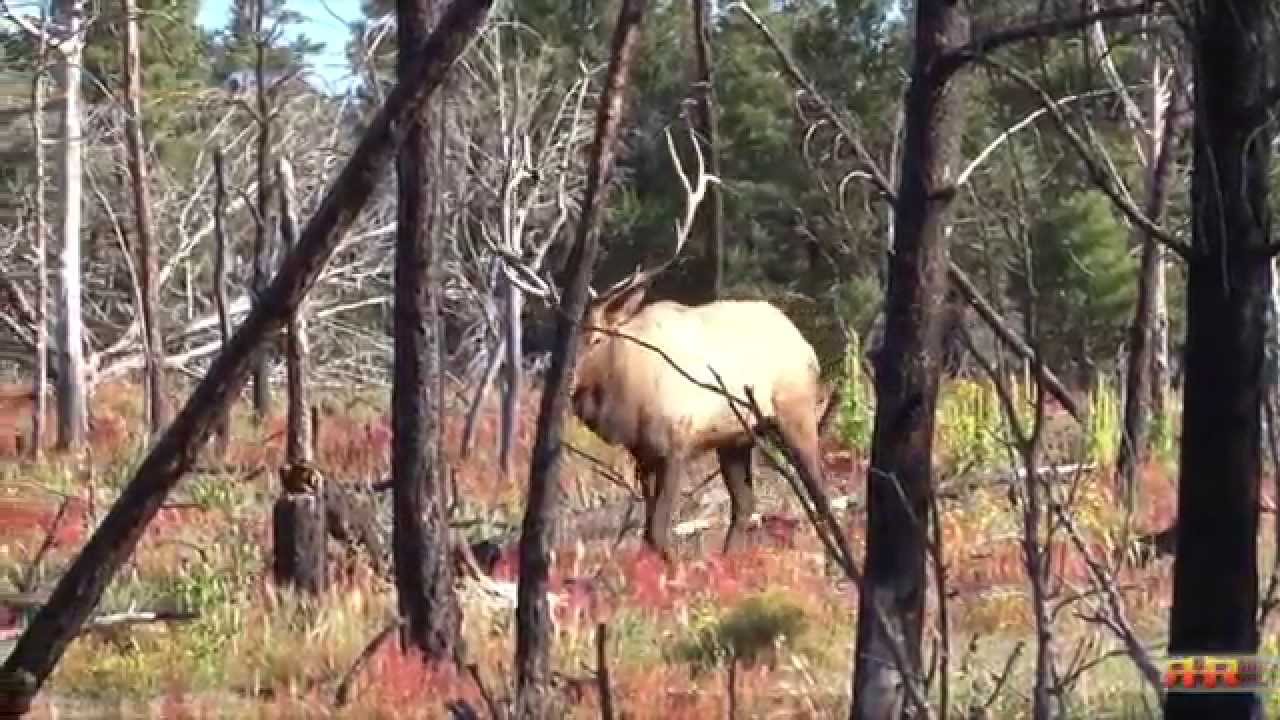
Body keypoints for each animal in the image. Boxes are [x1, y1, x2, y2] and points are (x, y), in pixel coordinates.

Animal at [509, 122, 833, 562]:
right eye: (562, 336)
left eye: (597, 336)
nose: (563, 379)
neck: (625, 400)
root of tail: (806, 344)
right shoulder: (642, 455)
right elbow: (649, 530)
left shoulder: (677, 442)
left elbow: (659, 530)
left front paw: (673, 568)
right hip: (736, 436)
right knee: (744, 505)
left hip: (794, 412)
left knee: (819, 491)